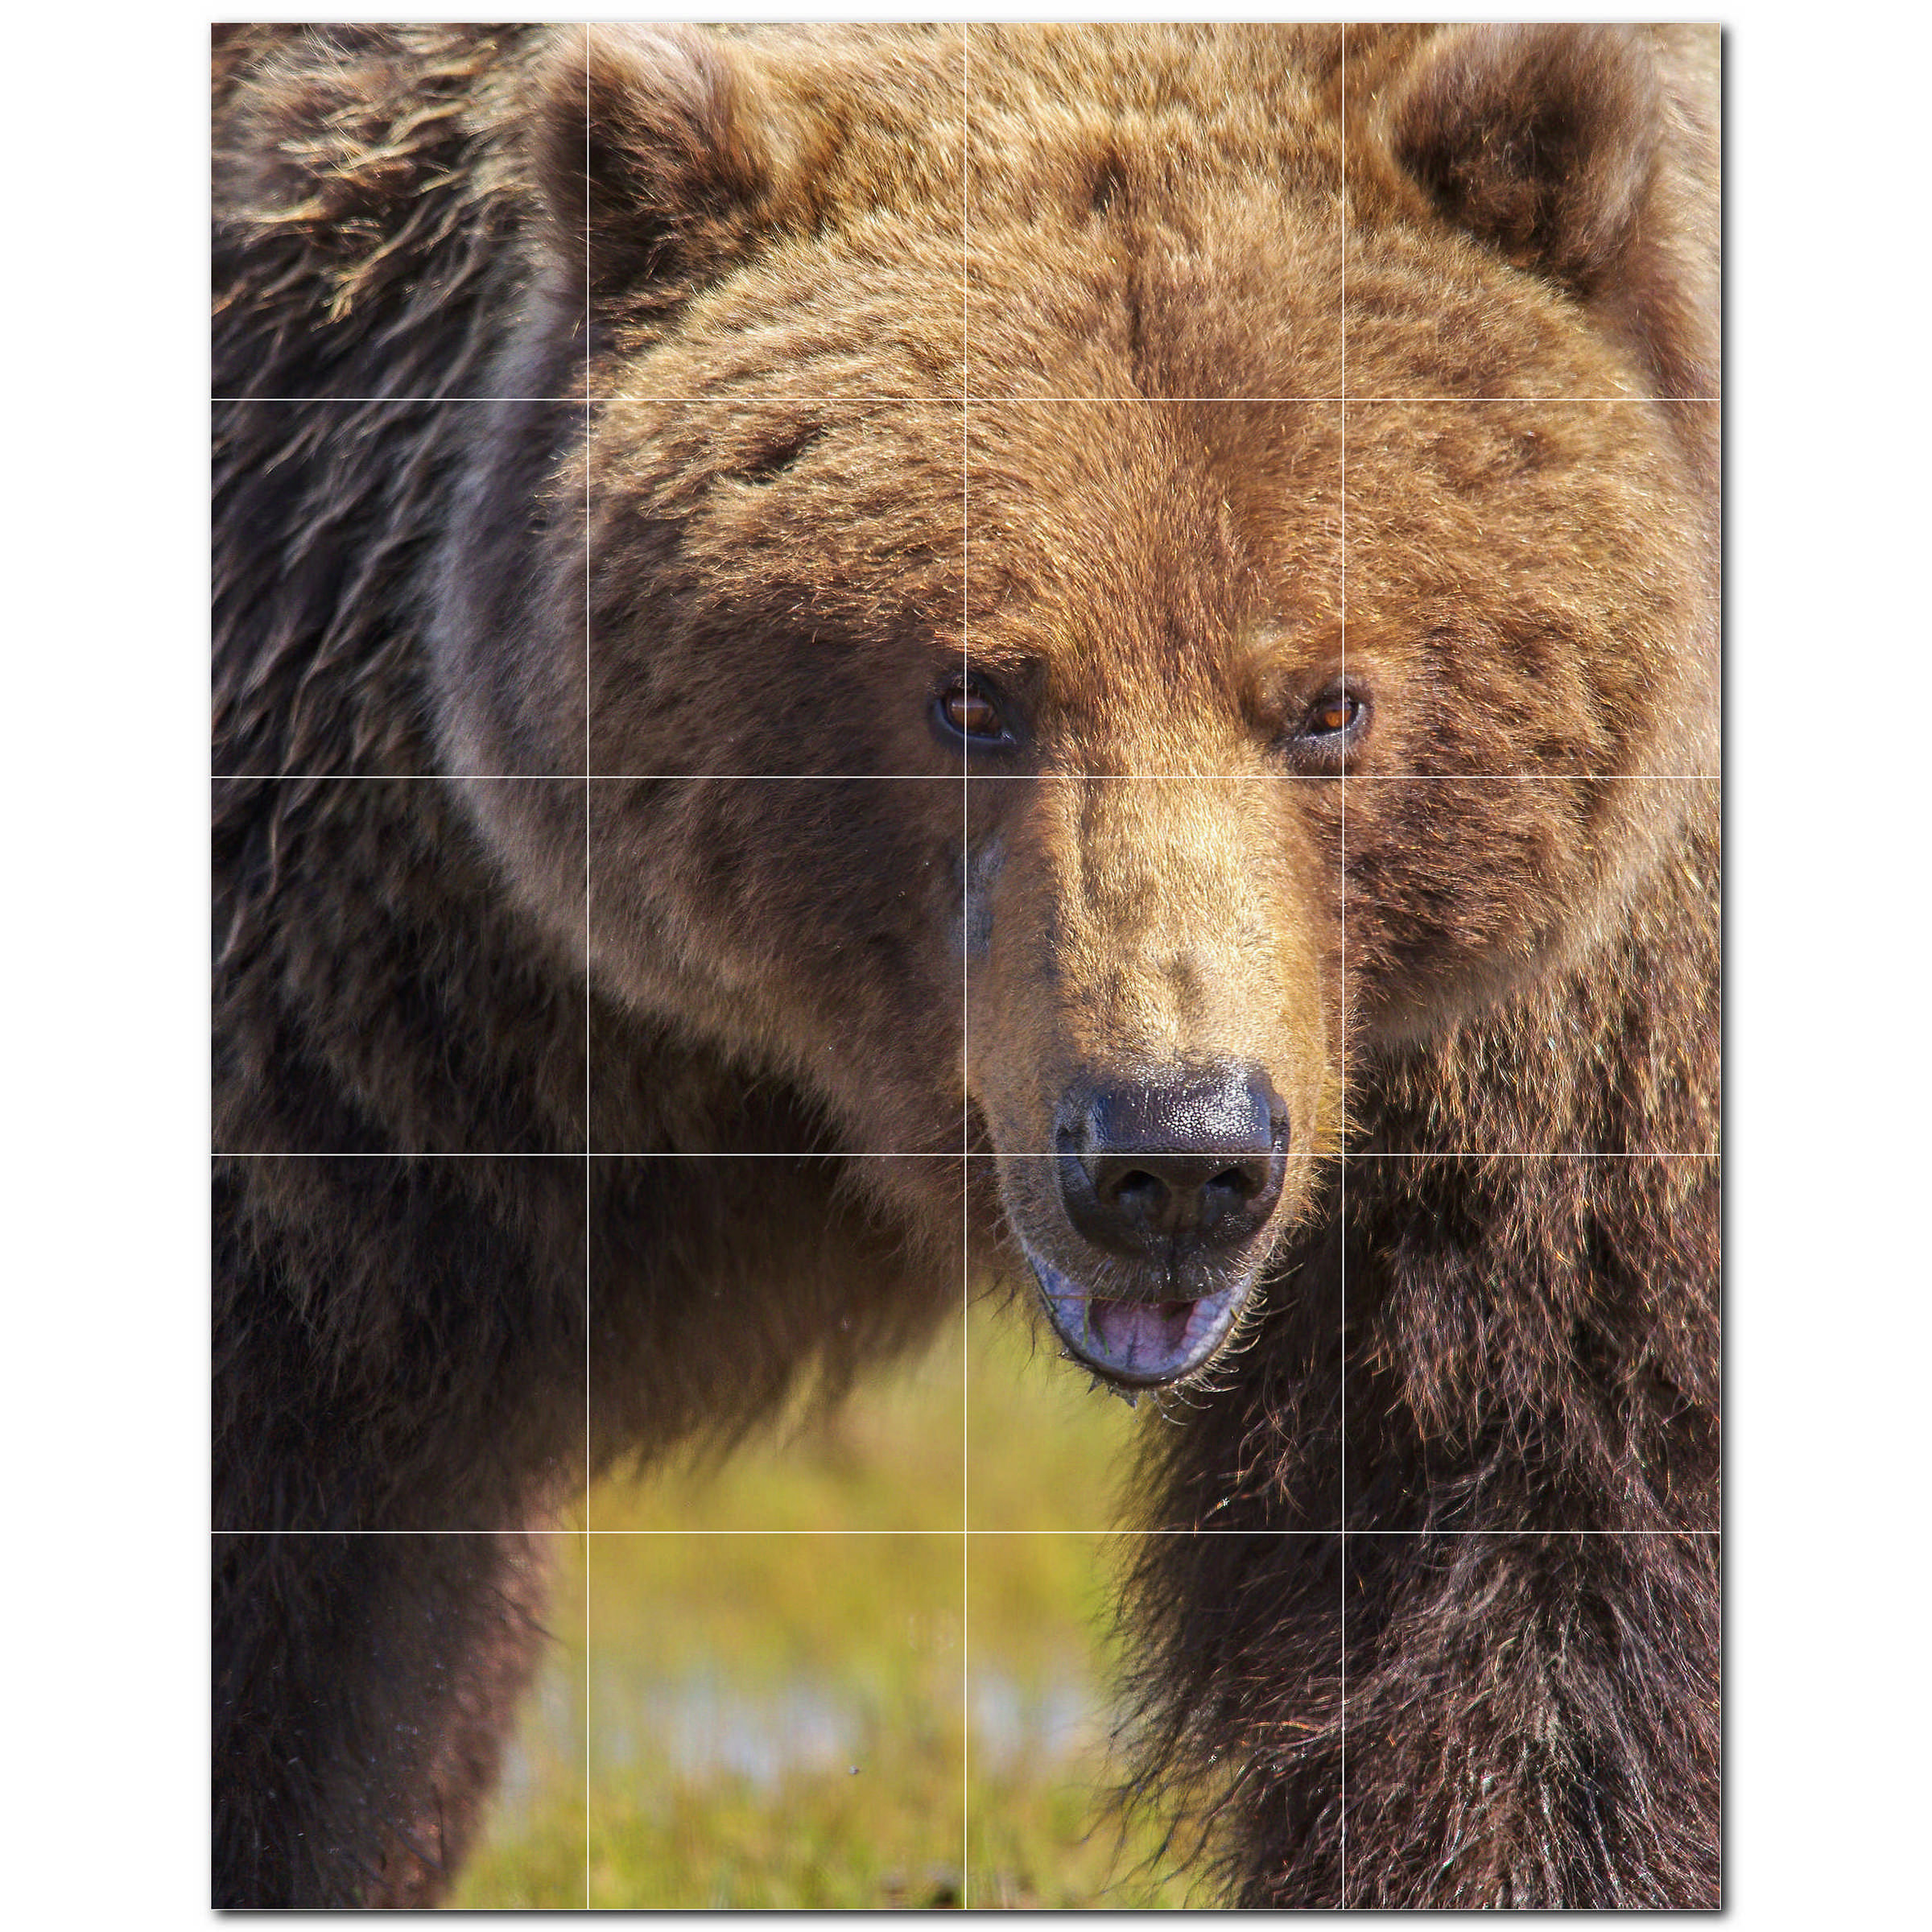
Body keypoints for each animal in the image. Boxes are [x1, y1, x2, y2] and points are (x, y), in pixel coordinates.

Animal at [212, 21, 1719, 1910]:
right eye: (971, 693)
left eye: (1332, 701)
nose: (1172, 1156)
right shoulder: (377, 923)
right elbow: (303, 1536)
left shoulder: (1570, 1057)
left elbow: (1538, 1526)